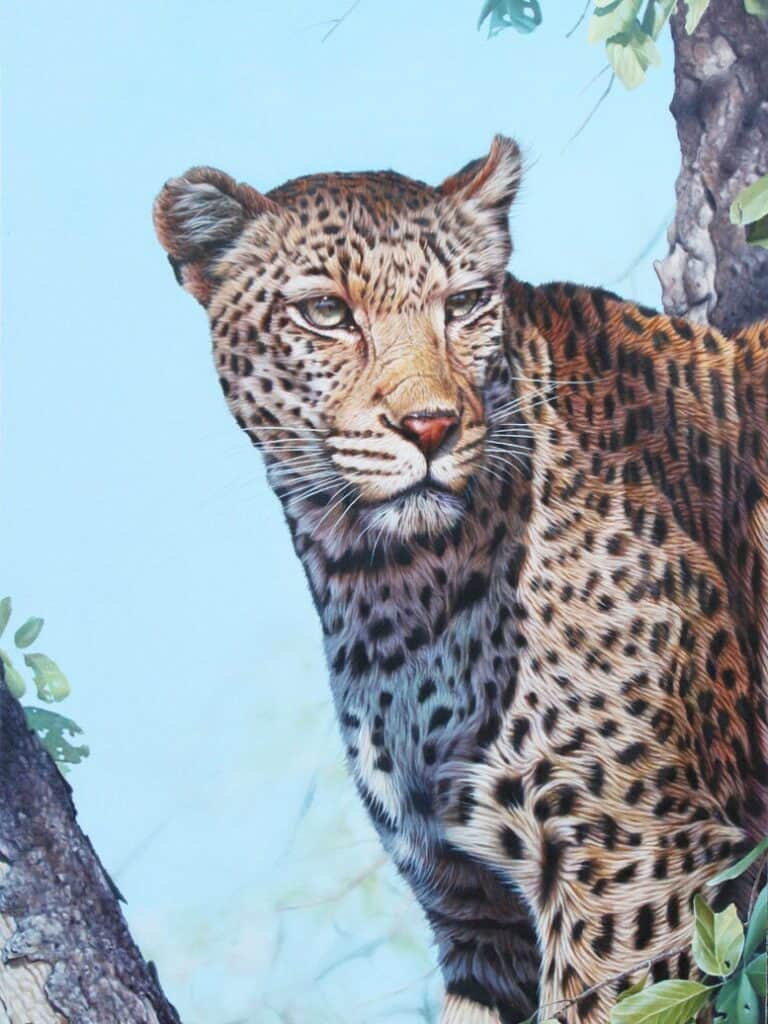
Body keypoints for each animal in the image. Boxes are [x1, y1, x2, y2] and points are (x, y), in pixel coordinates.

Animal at [153, 136, 768, 1023]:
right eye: (327, 313)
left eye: (467, 303)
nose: (431, 425)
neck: (387, 586)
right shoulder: (473, 907)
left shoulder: (642, 866)